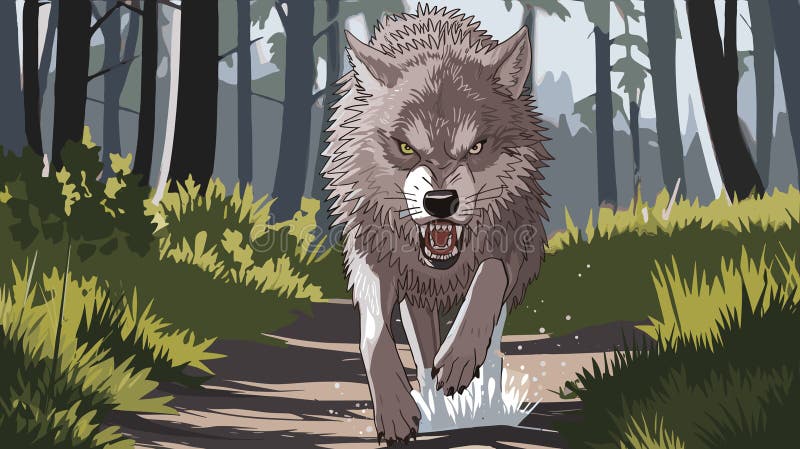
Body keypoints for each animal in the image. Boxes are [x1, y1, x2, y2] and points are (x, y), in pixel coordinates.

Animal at [321, 4, 551, 445]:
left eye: (475, 147)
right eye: (406, 147)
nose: (440, 202)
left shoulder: (518, 244)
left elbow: (488, 277)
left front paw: (460, 356)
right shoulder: (374, 255)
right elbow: (374, 335)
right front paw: (395, 409)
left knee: (489, 351)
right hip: (416, 297)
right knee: (424, 359)